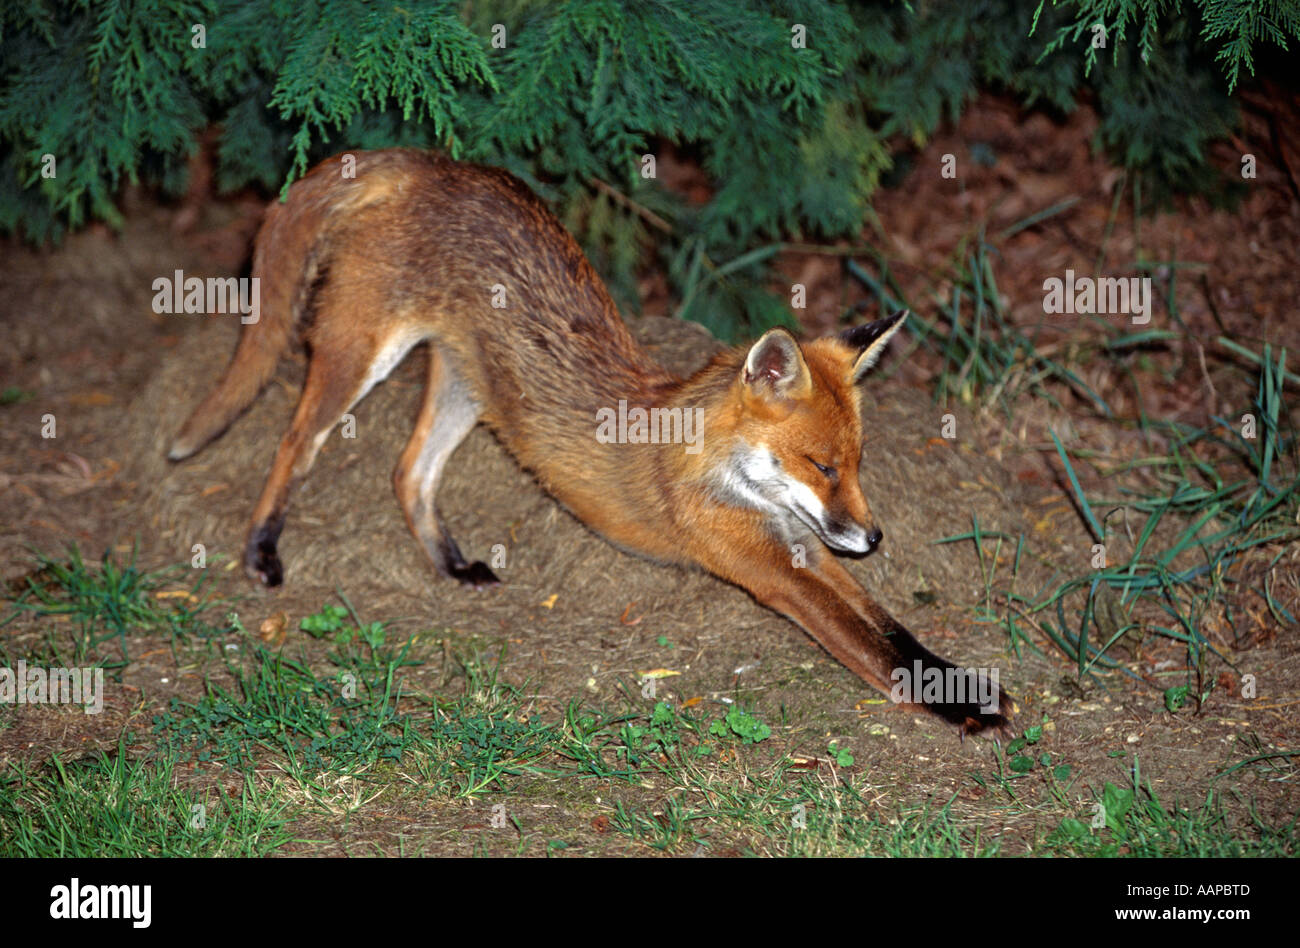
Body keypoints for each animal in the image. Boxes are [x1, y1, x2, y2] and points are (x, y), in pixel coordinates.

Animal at [170, 149, 1014, 737]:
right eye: (823, 465)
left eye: (858, 465)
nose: (873, 537)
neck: (726, 474)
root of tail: (431, 162)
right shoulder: (768, 569)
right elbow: (875, 653)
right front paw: (960, 710)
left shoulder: (803, 550)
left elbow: (900, 634)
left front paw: (957, 683)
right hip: (358, 355)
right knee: (293, 443)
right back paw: (262, 550)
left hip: (465, 387)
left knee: (408, 471)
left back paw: (451, 564)